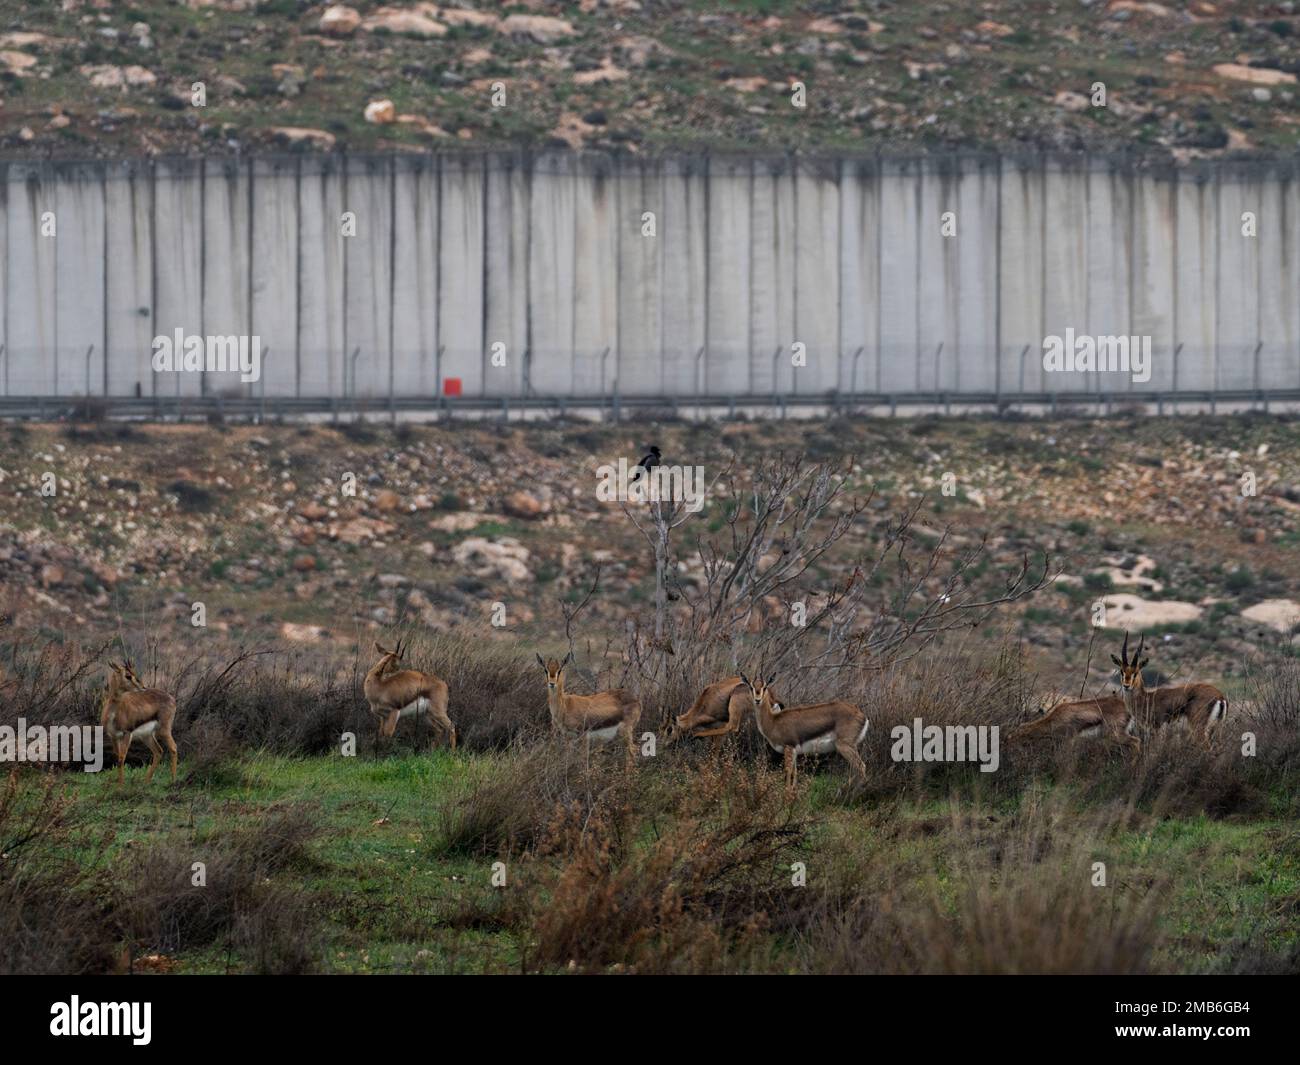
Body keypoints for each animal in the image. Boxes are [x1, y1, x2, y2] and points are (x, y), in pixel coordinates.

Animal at [738, 672, 868, 792]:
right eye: (751, 687)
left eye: (765, 687)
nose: (757, 700)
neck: (773, 721)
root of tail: (862, 715)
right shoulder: (794, 751)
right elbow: (794, 773)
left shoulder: (788, 747)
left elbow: (788, 771)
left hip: (844, 746)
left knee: (861, 767)